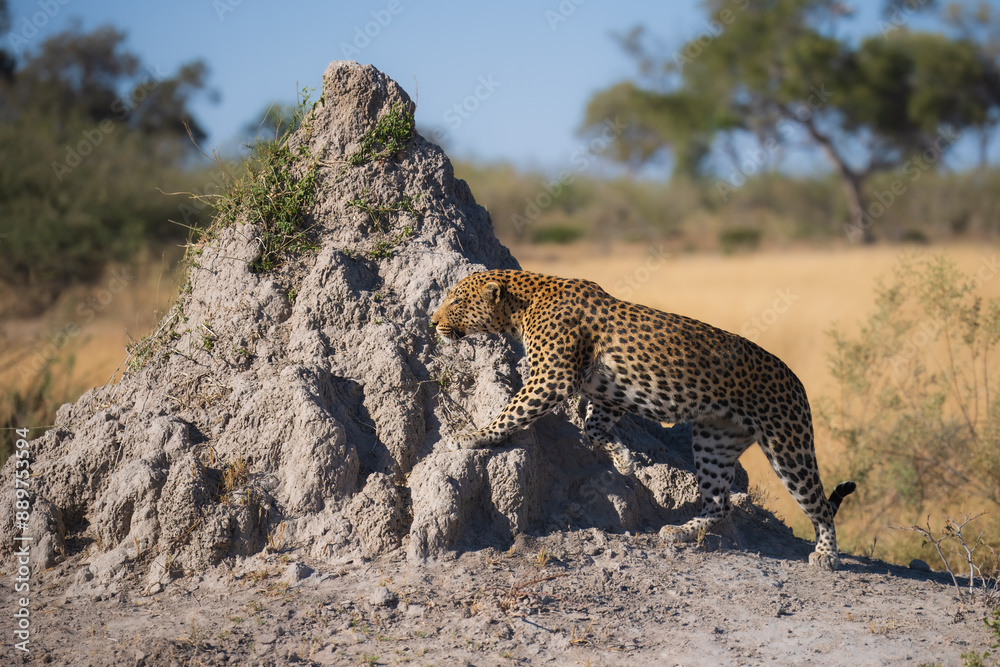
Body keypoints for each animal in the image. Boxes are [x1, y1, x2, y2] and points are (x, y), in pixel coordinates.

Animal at [430, 269, 856, 569]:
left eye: (456, 301)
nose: (433, 322)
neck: (522, 306)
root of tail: (796, 379)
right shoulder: (607, 393)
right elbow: (592, 428)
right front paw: (624, 460)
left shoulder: (552, 378)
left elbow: (511, 411)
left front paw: (474, 436)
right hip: (715, 441)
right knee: (720, 502)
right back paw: (680, 532)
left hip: (788, 446)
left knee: (820, 506)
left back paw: (827, 556)